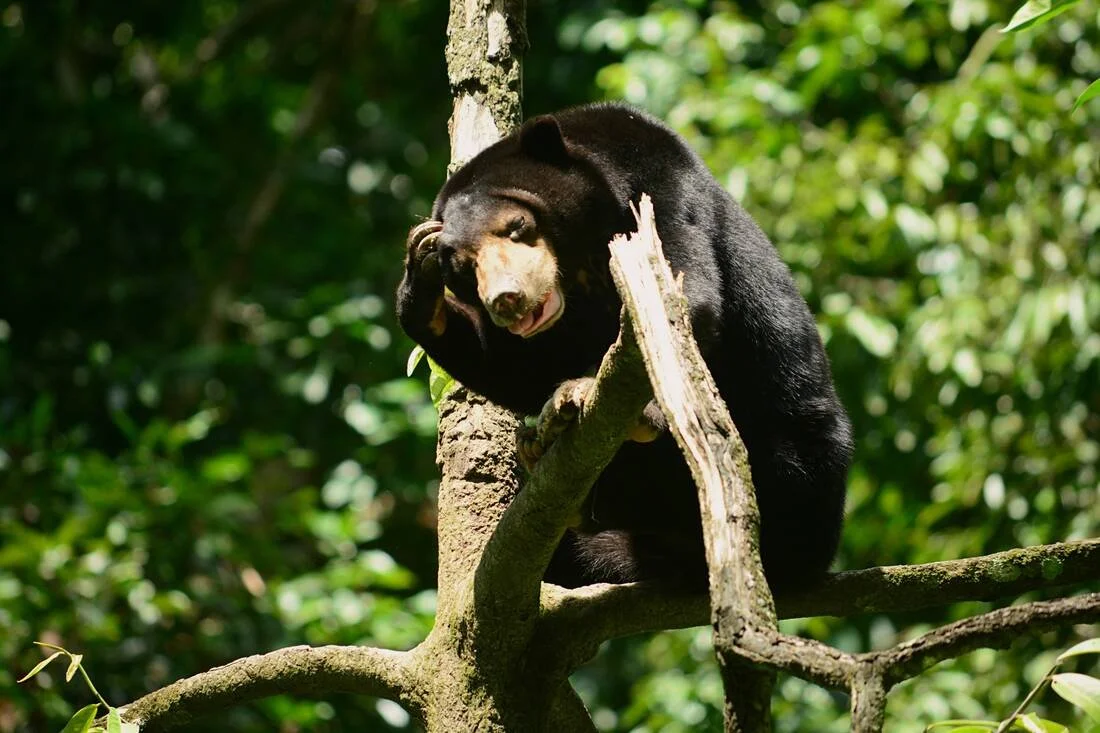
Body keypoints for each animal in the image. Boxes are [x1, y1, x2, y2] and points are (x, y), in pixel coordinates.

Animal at [396, 103, 853, 593]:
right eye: (464, 266)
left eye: (517, 227)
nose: (507, 299)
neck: (581, 258)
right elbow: (513, 367)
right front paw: (420, 278)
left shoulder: (663, 189)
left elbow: (683, 297)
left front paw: (575, 397)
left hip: (796, 460)